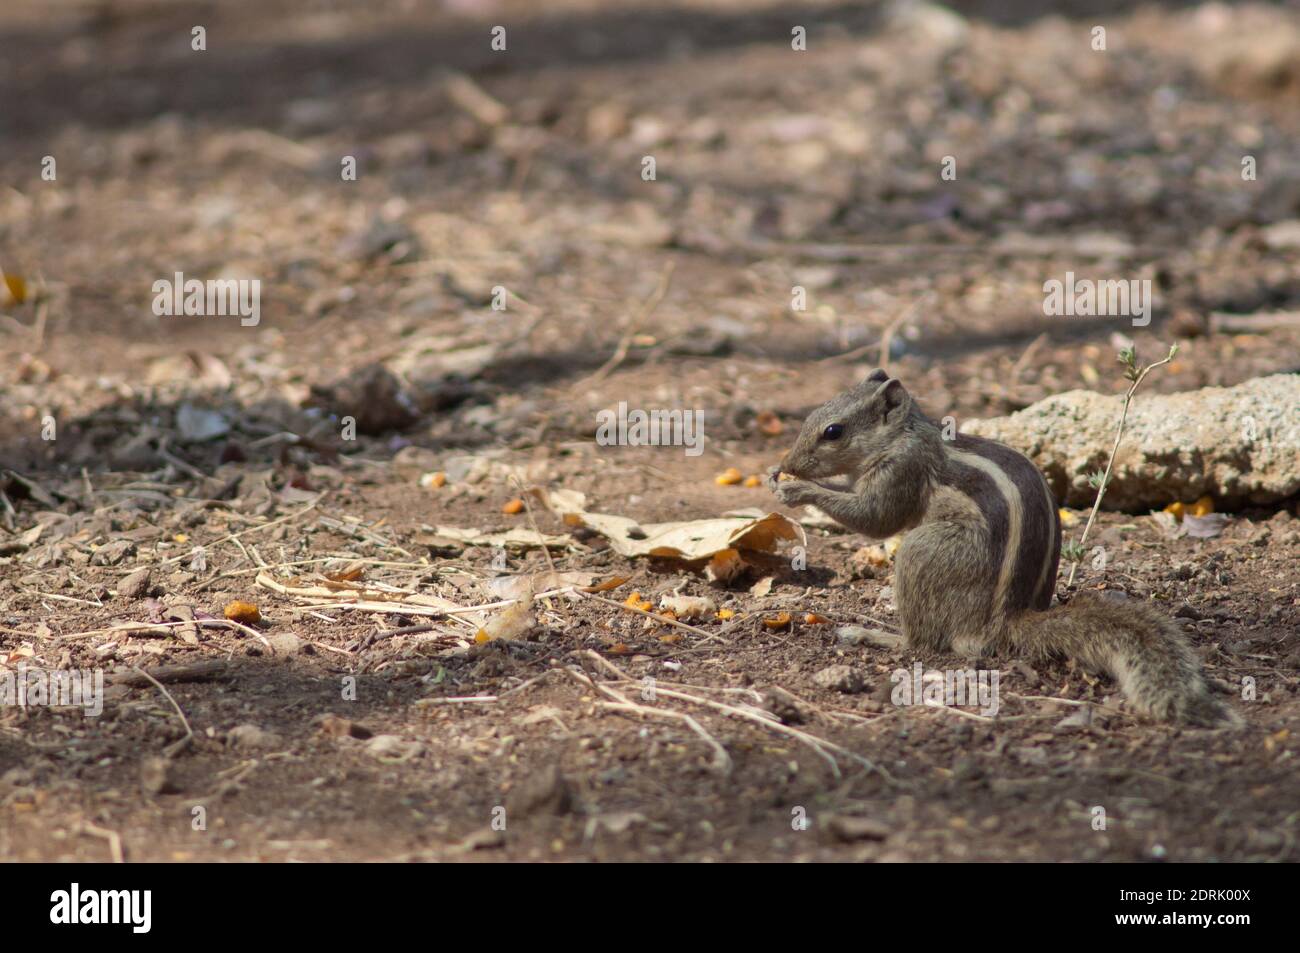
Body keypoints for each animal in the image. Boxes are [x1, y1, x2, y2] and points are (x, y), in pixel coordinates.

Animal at [769, 369, 1239, 728]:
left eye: (833, 431)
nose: (786, 464)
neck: (905, 434)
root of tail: (1006, 622)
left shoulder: (902, 471)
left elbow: (875, 517)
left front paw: (798, 490)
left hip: (923, 551)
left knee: (922, 642)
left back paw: (872, 633)